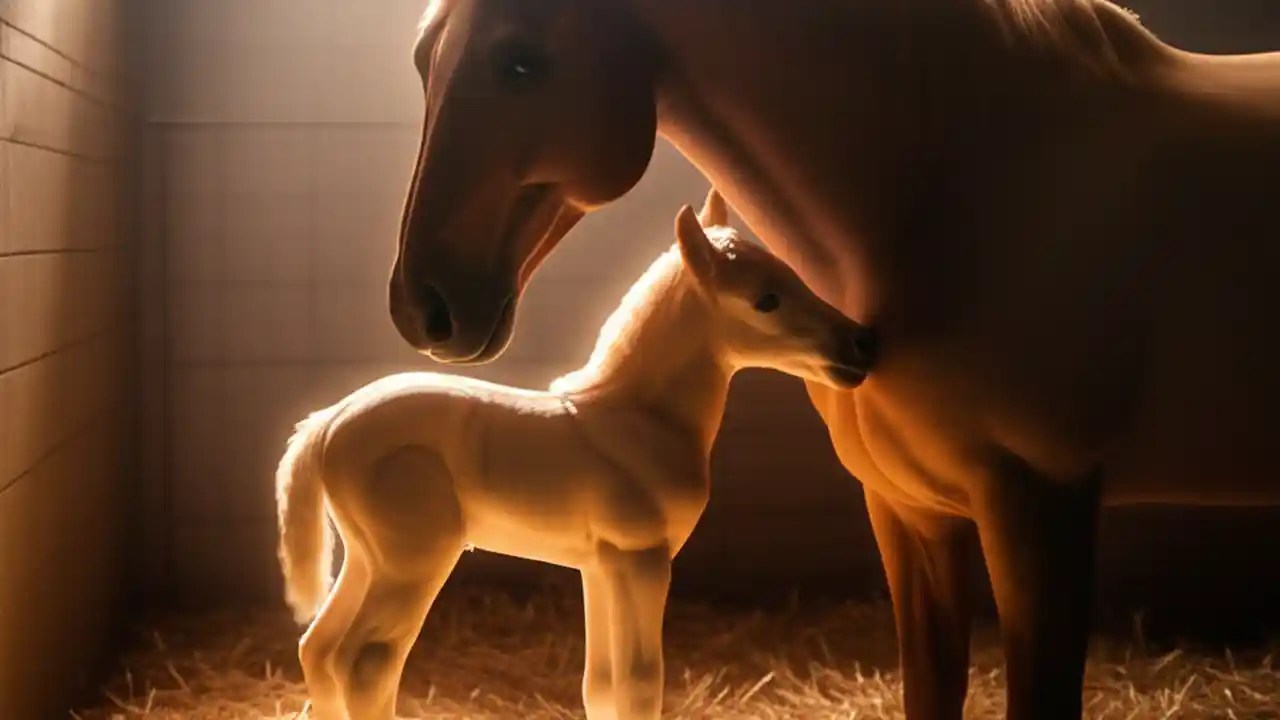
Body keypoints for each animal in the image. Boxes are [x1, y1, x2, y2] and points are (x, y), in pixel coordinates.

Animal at [277, 192, 877, 720]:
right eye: (766, 299)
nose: (859, 345)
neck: (641, 418)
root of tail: (329, 421)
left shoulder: (600, 562)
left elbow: (602, 685)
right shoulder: (642, 556)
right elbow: (639, 683)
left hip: (366, 555)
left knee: (319, 649)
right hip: (414, 559)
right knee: (366, 662)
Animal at [385, 0, 1280, 717]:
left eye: (521, 62)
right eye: (421, 60)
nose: (419, 306)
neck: (956, 189)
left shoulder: (1042, 503)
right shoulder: (911, 508)